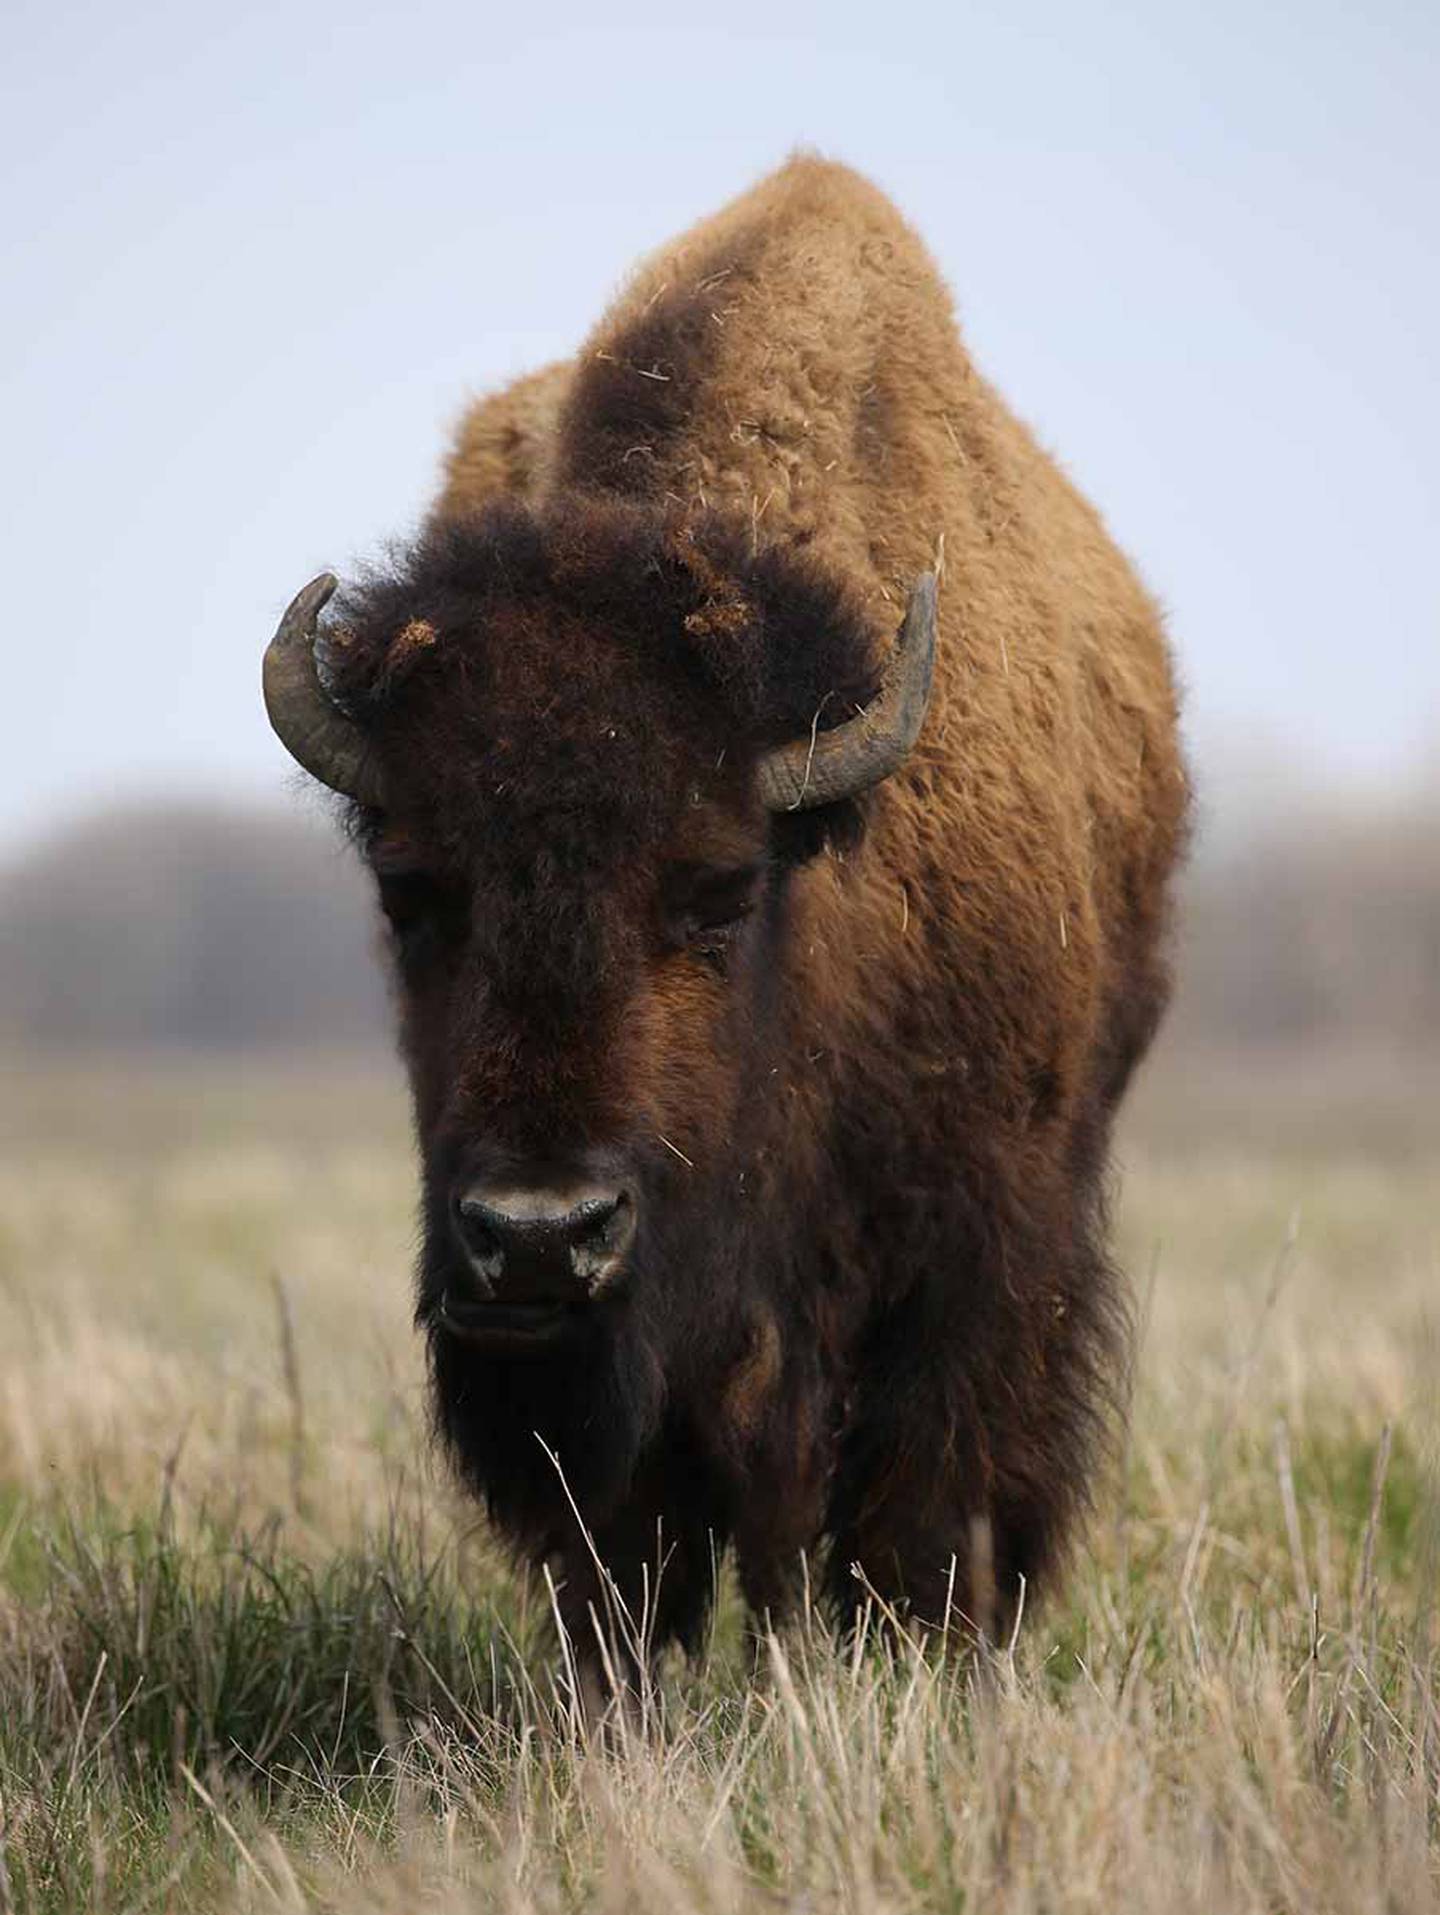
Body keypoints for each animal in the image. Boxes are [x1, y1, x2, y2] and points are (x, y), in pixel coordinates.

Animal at [263, 157, 1189, 1668]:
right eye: (411, 889)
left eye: (718, 889)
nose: (537, 1232)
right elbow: (628, 1546)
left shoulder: (971, 1247)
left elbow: (922, 1511)